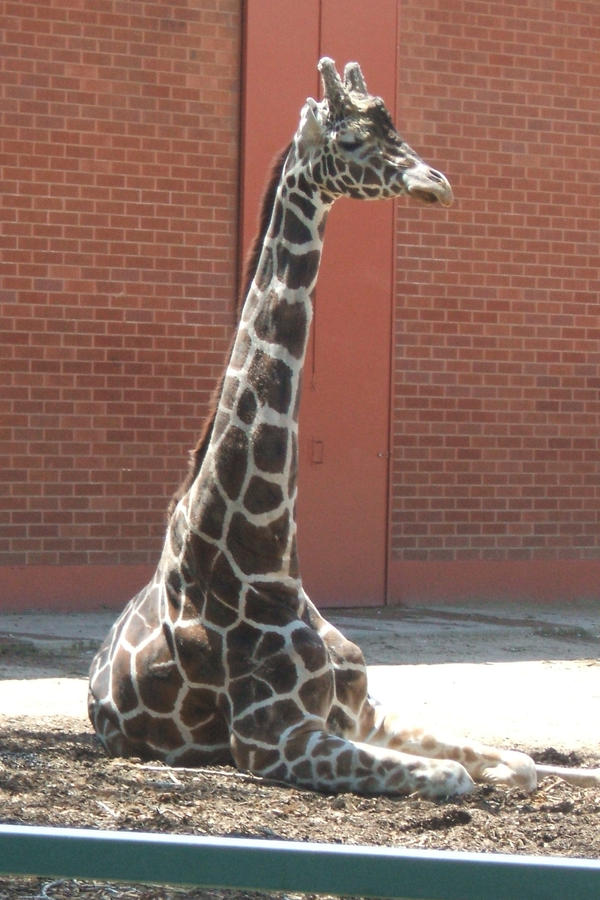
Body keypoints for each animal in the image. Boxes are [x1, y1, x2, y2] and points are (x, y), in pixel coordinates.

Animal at [89, 58, 600, 799]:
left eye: (397, 129)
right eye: (353, 140)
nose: (436, 184)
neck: (265, 554)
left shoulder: (361, 709)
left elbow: (520, 761)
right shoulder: (275, 741)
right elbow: (455, 776)